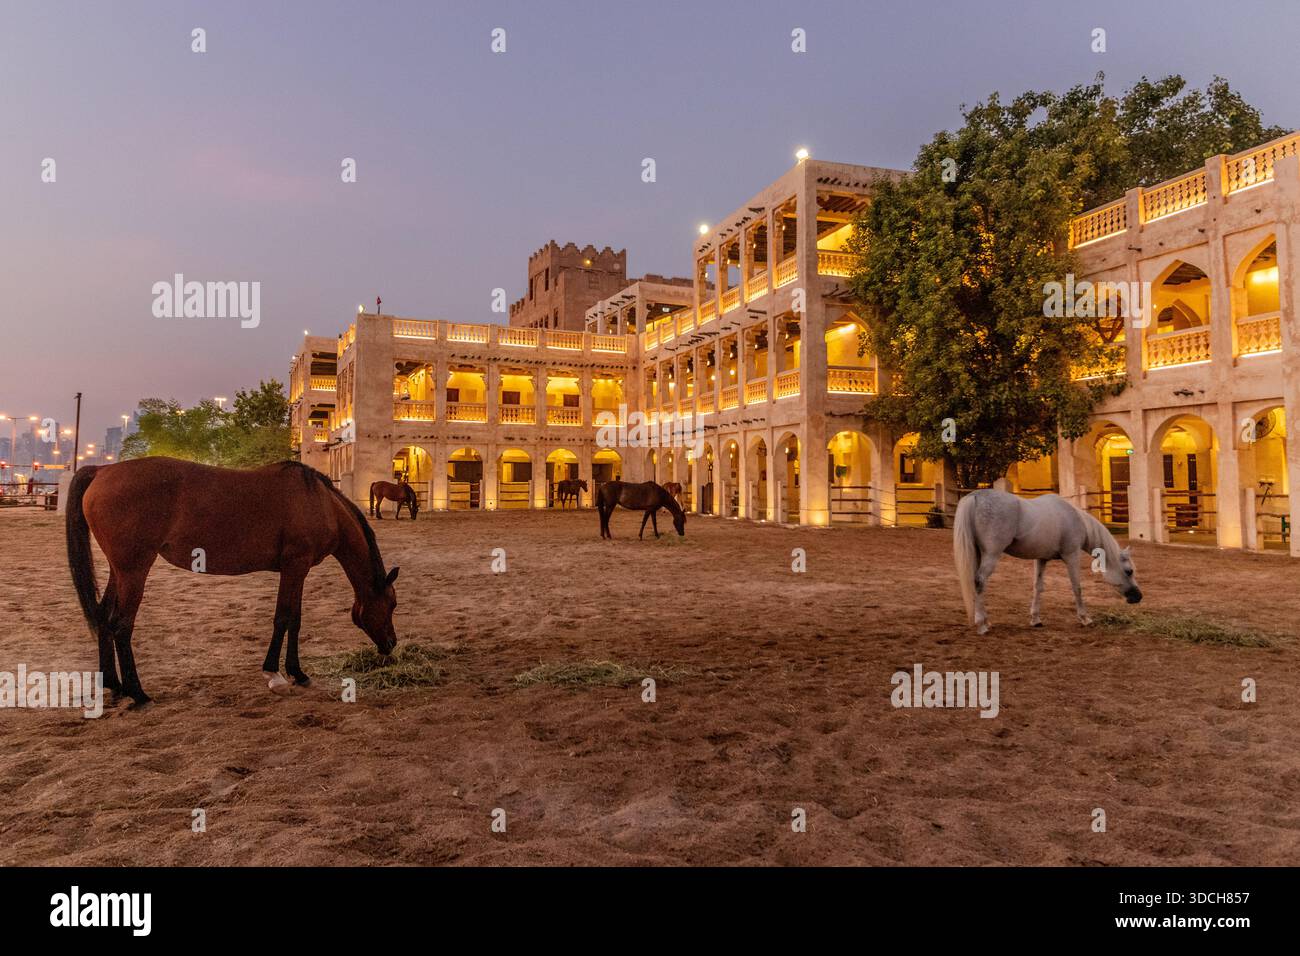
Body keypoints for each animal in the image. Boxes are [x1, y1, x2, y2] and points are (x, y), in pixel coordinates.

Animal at [66, 457, 400, 705]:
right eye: (392, 604)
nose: (391, 643)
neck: (321, 502)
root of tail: (102, 470)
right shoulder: (294, 566)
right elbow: (283, 617)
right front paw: (274, 674)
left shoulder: (299, 570)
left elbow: (295, 619)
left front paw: (298, 672)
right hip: (134, 570)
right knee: (121, 625)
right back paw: (138, 693)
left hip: (119, 570)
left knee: (104, 617)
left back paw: (113, 684)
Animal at [953, 489, 1140, 635]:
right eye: (1129, 571)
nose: (1138, 597)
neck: (1074, 518)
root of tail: (976, 496)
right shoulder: (1072, 556)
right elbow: (1077, 587)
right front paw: (1085, 618)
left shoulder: (1041, 558)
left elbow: (1038, 587)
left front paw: (1035, 619)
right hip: (991, 555)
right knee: (979, 582)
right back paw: (982, 625)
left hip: (979, 554)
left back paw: (986, 621)